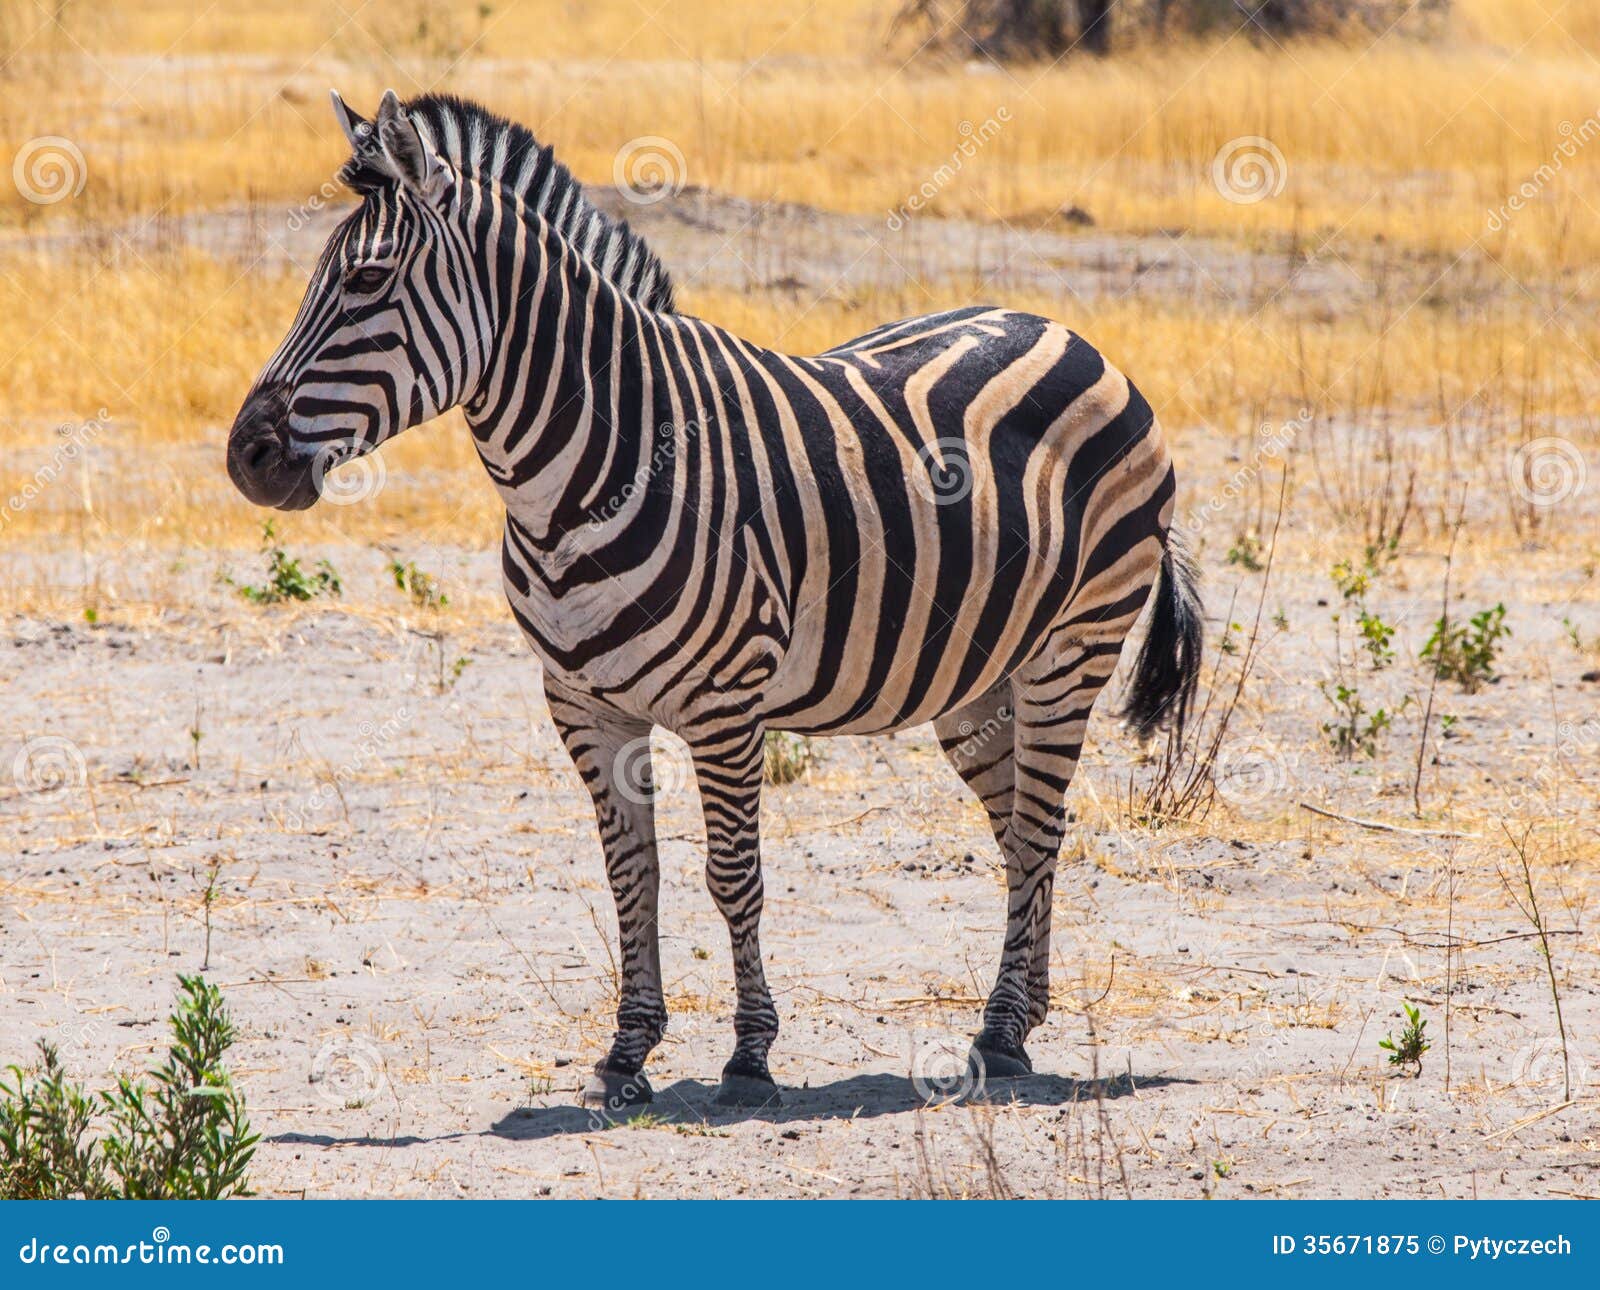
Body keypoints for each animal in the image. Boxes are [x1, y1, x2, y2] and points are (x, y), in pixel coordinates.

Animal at [227, 90, 1203, 1113]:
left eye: (367, 280)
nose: (246, 458)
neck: (581, 478)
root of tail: (1068, 331)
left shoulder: (725, 705)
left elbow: (732, 875)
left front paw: (748, 1056)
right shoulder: (583, 706)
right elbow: (632, 874)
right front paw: (626, 1054)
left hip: (1071, 651)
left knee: (1044, 824)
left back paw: (1004, 1035)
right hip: (979, 680)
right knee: (1021, 831)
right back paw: (1019, 1015)